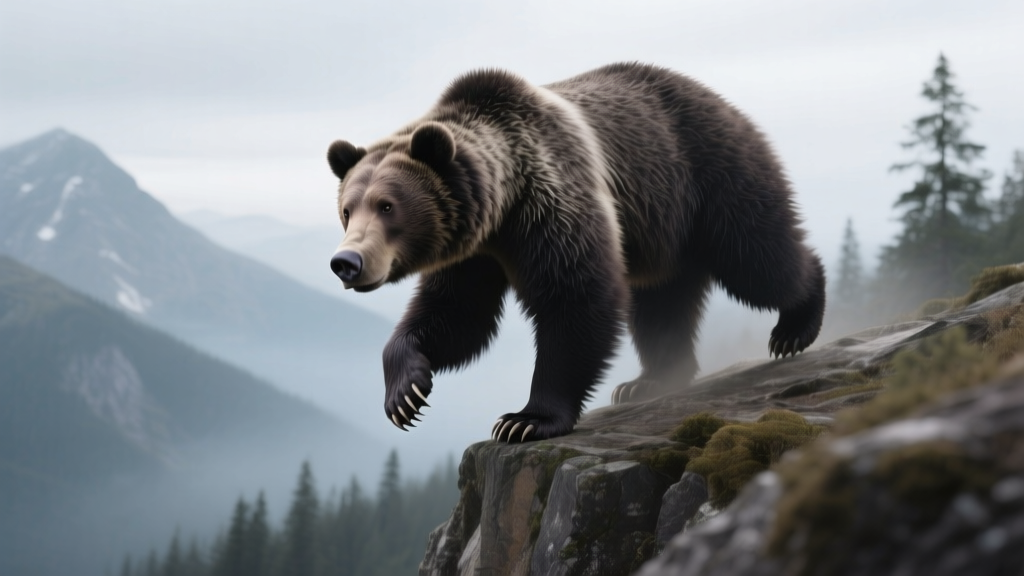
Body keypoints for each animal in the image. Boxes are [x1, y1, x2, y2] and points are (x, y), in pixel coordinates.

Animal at [327, 62, 825, 444]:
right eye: (347, 210)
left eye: (387, 206)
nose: (346, 263)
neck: (503, 209)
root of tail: (719, 97)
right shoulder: (473, 253)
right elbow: (457, 313)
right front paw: (405, 394)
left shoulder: (553, 203)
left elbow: (575, 298)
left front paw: (525, 420)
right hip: (663, 232)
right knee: (661, 303)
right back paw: (649, 380)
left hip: (708, 177)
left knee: (757, 259)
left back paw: (795, 325)